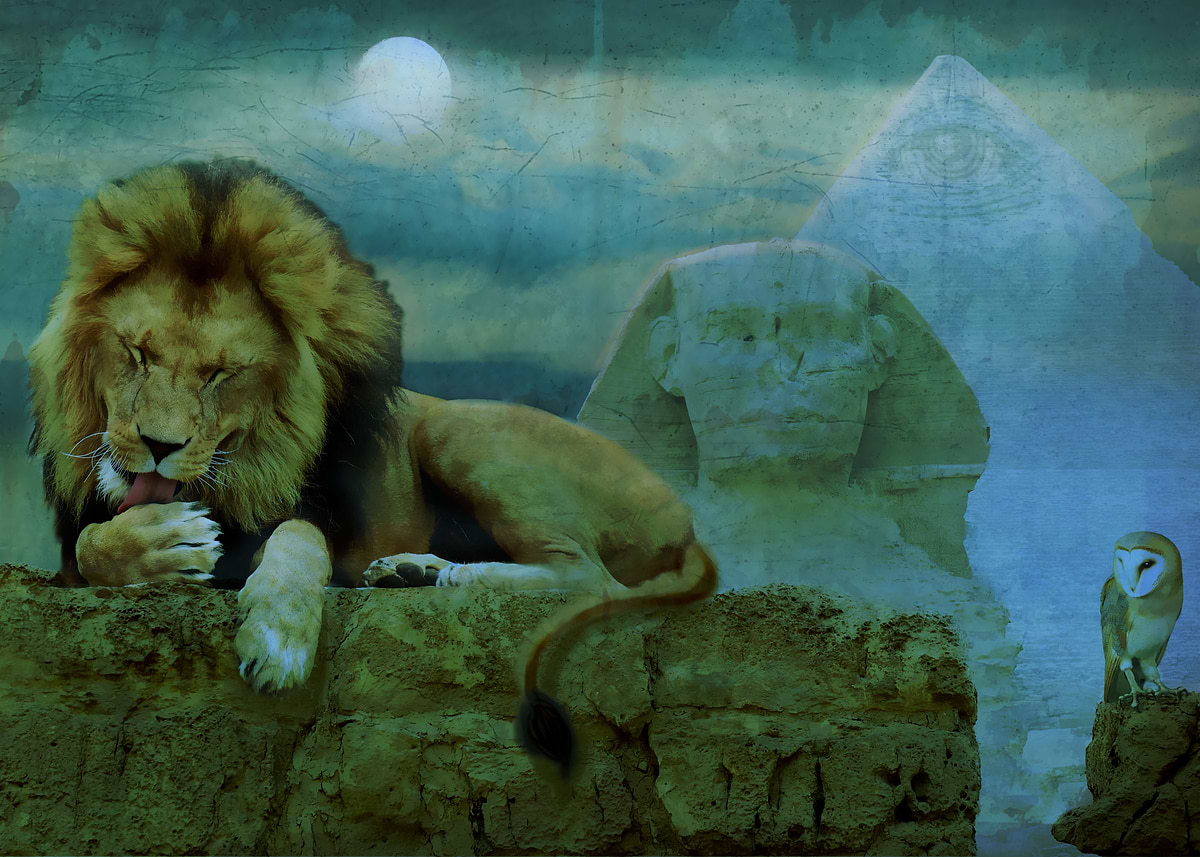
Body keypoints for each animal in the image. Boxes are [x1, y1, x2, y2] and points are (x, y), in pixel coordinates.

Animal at [28, 159, 716, 772]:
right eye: (136, 353)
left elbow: (298, 540)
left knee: (590, 577)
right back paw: (411, 572)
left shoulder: (315, 515)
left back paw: (451, 577)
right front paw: (163, 543)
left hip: (454, 429)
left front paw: (277, 637)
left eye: (222, 374)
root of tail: (684, 517)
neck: (247, 469)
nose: (158, 444)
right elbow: (90, 543)